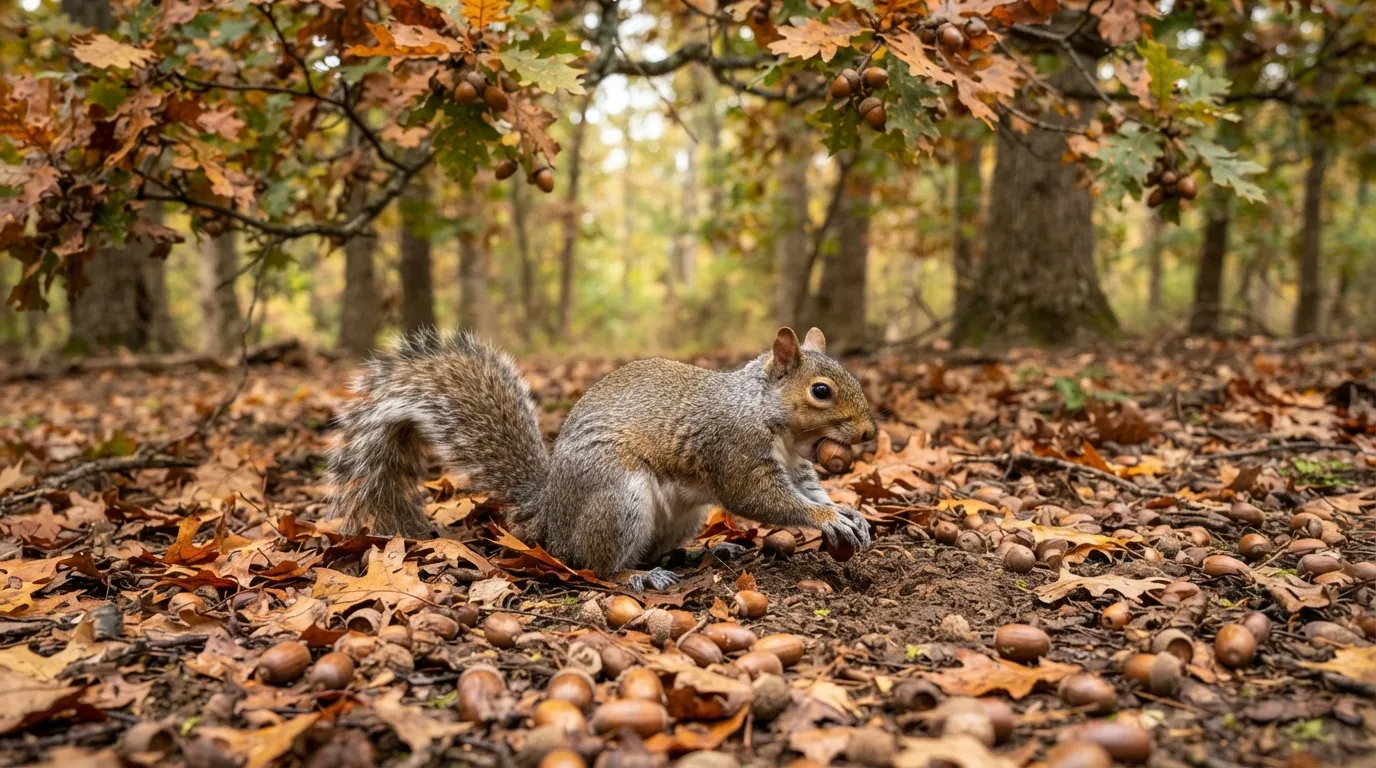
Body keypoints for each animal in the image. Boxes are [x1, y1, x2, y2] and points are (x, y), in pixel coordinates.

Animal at [326, 326, 876, 590]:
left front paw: (845, 512)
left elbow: (809, 488)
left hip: (683, 515)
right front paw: (824, 517)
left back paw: (702, 553)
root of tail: (550, 517)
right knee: (595, 565)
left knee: (656, 549)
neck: (766, 412)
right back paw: (636, 576)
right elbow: (761, 497)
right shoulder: (734, 450)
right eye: (821, 391)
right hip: (617, 498)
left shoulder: (797, 464)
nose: (870, 432)